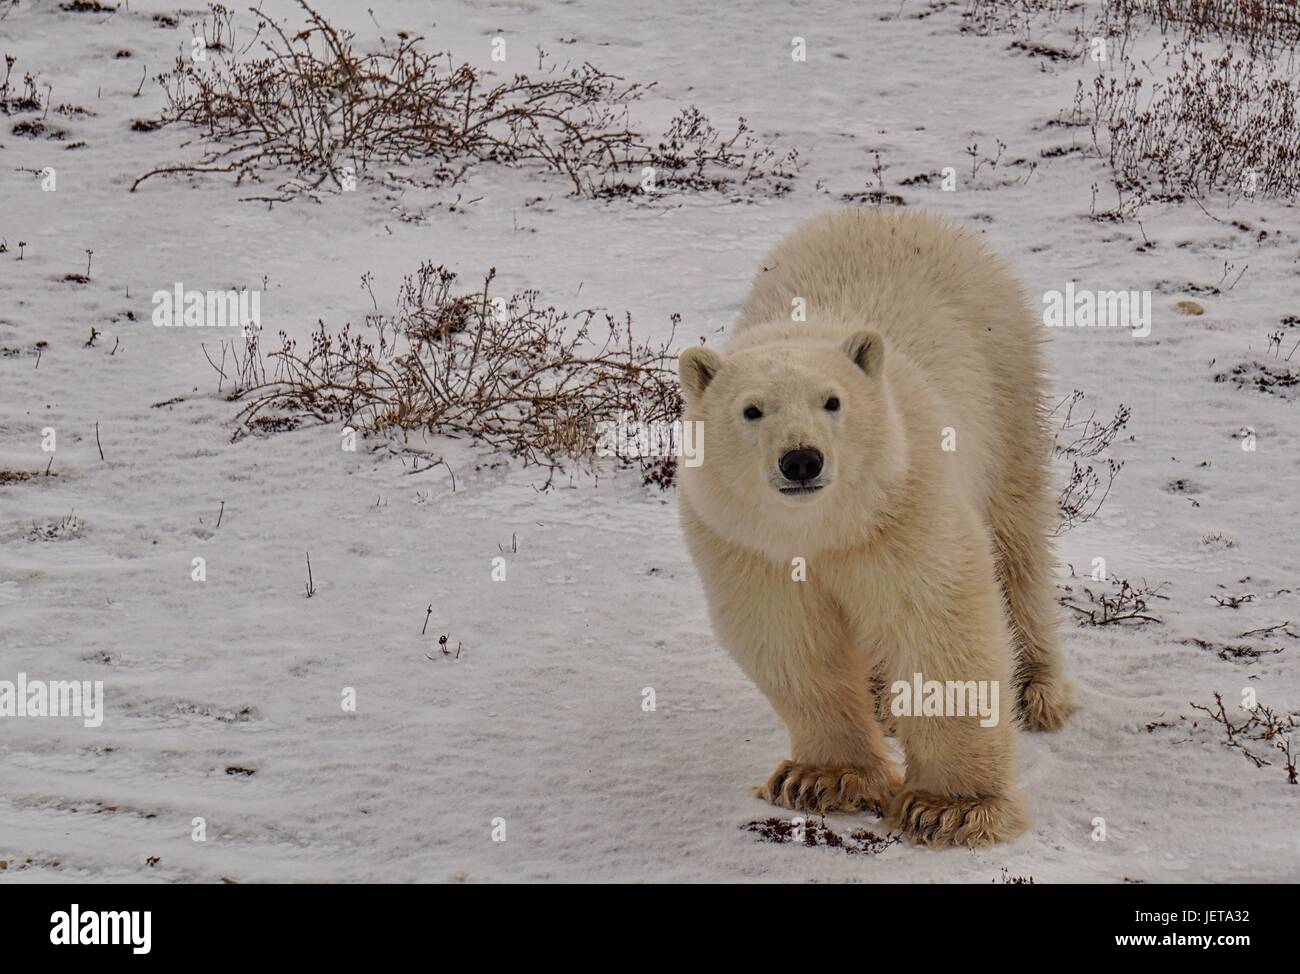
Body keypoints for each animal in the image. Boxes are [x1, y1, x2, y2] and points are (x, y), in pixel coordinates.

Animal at [677, 208, 1075, 848]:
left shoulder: (904, 507)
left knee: (1017, 541)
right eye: (752, 409)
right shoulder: (746, 543)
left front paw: (950, 808)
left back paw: (1033, 689)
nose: (802, 459)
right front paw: (822, 778)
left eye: (833, 401)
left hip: (1006, 378)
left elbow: (939, 624)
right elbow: (790, 637)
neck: (826, 528)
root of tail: (894, 212)